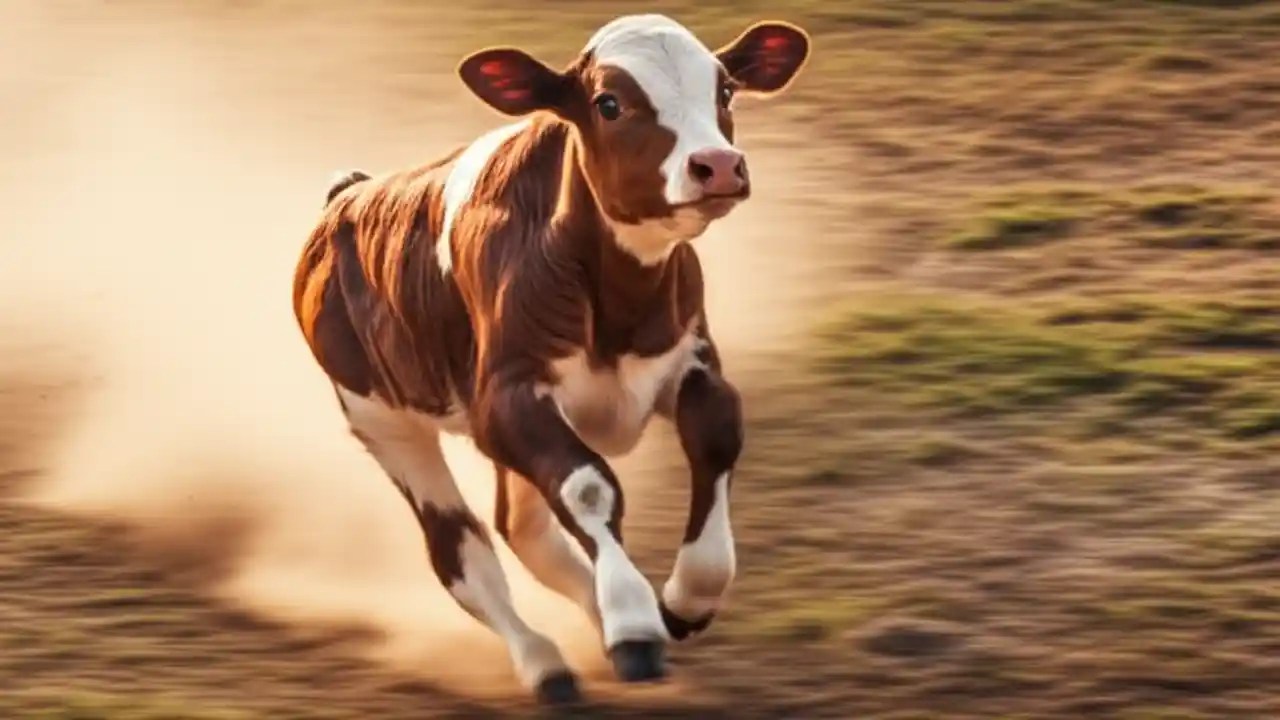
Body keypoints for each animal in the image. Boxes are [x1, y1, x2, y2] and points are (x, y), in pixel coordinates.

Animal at [291, 13, 810, 704]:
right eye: (609, 102)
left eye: (725, 89)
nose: (718, 165)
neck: (613, 301)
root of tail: (347, 197)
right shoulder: (509, 400)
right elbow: (589, 488)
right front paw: (635, 624)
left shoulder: (689, 365)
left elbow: (717, 440)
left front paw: (681, 603)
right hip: (386, 425)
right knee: (462, 552)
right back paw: (546, 664)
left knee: (523, 530)